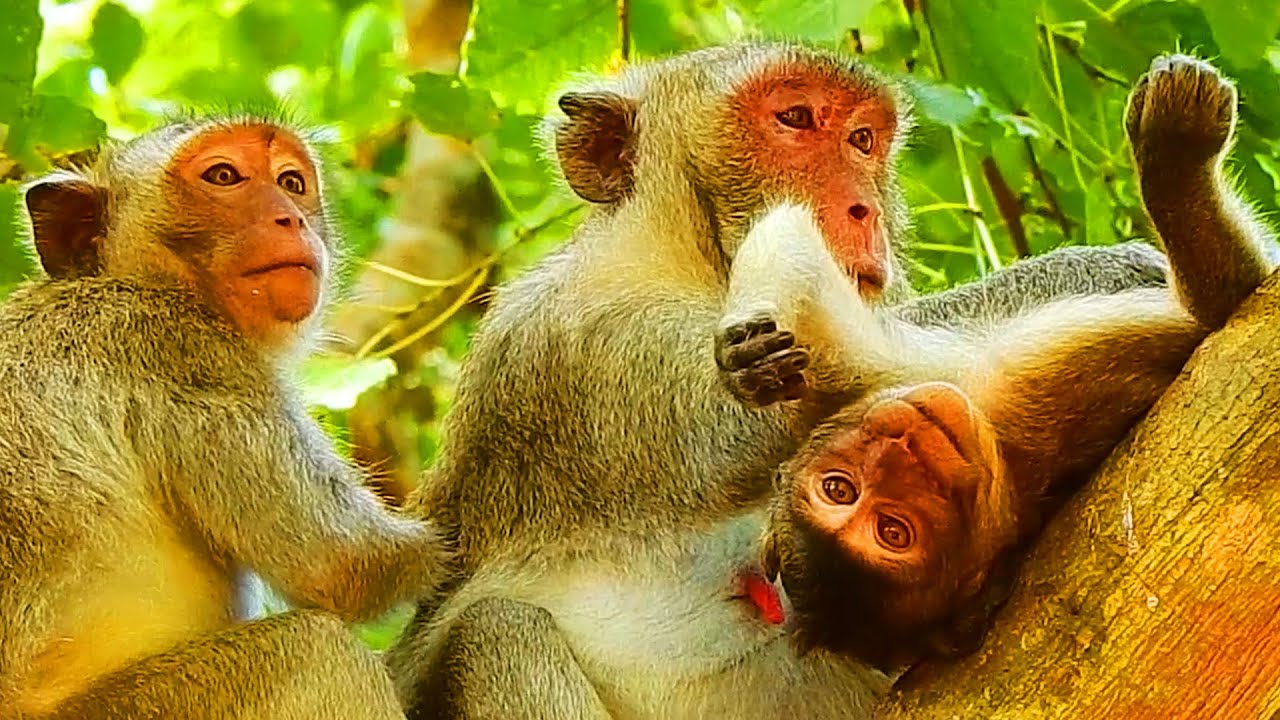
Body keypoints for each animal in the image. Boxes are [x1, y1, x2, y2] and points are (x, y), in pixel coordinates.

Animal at [0, 115, 450, 719]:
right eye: (223, 176)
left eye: (291, 182)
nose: (289, 216)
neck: (138, 279)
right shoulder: (191, 351)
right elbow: (348, 565)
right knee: (316, 651)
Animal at [385, 42, 1180, 719]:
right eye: (794, 119)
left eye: (863, 139)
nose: (862, 209)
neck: (681, 255)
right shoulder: (596, 348)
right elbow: (870, 372)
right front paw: (1120, 264)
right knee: (498, 632)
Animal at [754, 53, 1278, 673]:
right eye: (894, 532)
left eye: (839, 490)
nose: (897, 449)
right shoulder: (1043, 394)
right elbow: (1229, 302)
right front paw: (1175, 157)